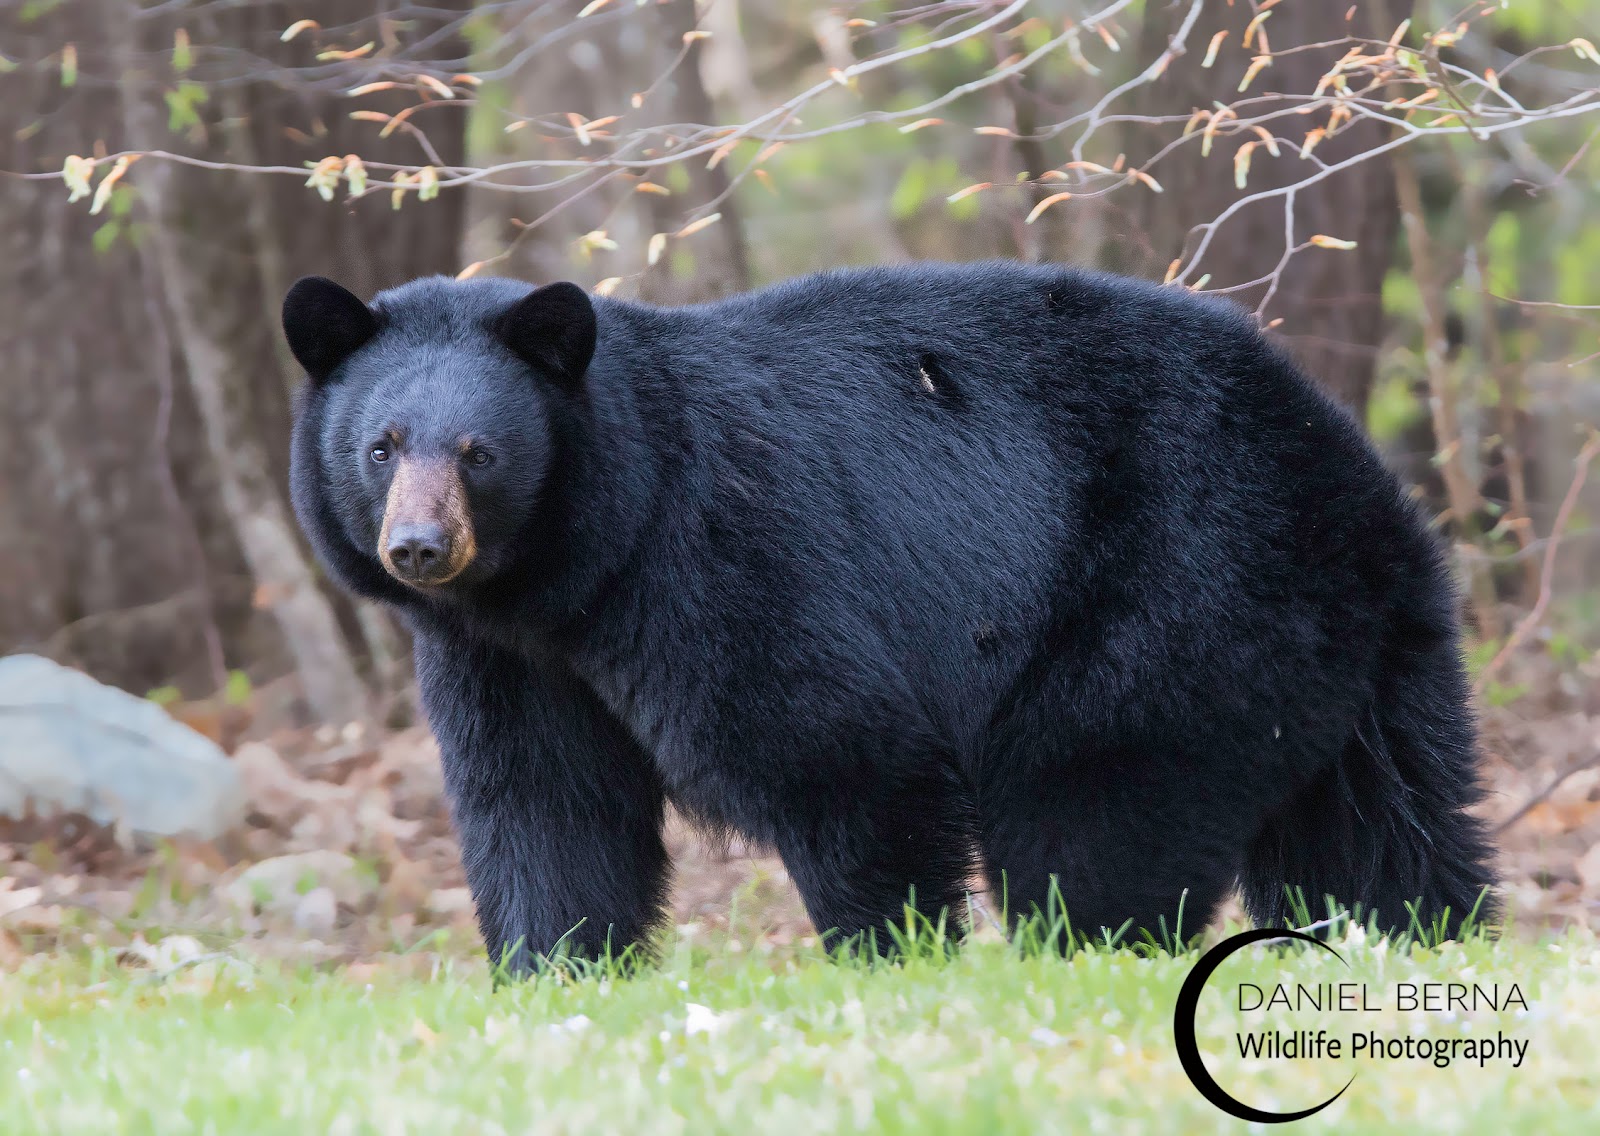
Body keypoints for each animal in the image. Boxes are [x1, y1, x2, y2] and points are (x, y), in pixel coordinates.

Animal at [283, 261, 1496, 972]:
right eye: (381, 445)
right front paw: (559, 967)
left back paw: (1084, 948)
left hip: (1174, 584)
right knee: (1383, 815)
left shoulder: (725, 558)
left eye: (478, 451)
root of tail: (1352, 481)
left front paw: (890, 956)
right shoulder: (508, 654)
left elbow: (837, 746)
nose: (418, 547)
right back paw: (1426, 933)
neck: (576, 565)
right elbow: (543, 800)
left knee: (1096, 798)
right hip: (1355, 649)